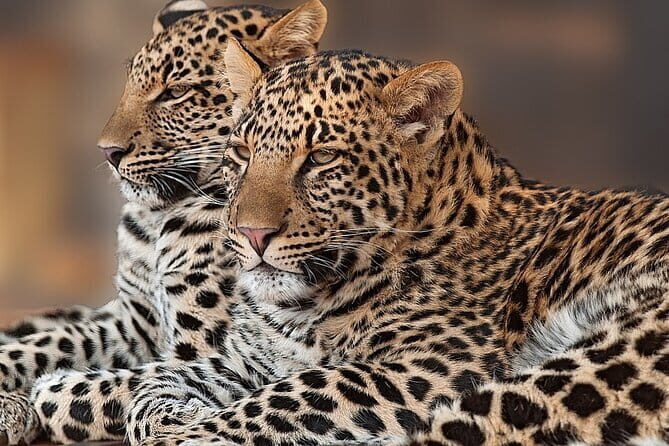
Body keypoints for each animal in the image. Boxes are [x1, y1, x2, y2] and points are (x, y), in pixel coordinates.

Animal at [0, 1, 327, 444]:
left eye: (176, 92)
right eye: (130, 85)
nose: (107, 152)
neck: (157, 222)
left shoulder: (210, 350)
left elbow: (103, 386)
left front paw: (23, 404)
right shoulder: (131, 322)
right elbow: (47, 344)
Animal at [109, 45, 667, 445]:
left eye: (322, 158)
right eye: (242, 153)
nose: (251, 234)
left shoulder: (434, 368)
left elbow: (291, 392)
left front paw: (184, 431)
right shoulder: (252, 357)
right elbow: (164, 377)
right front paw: (165, 410)